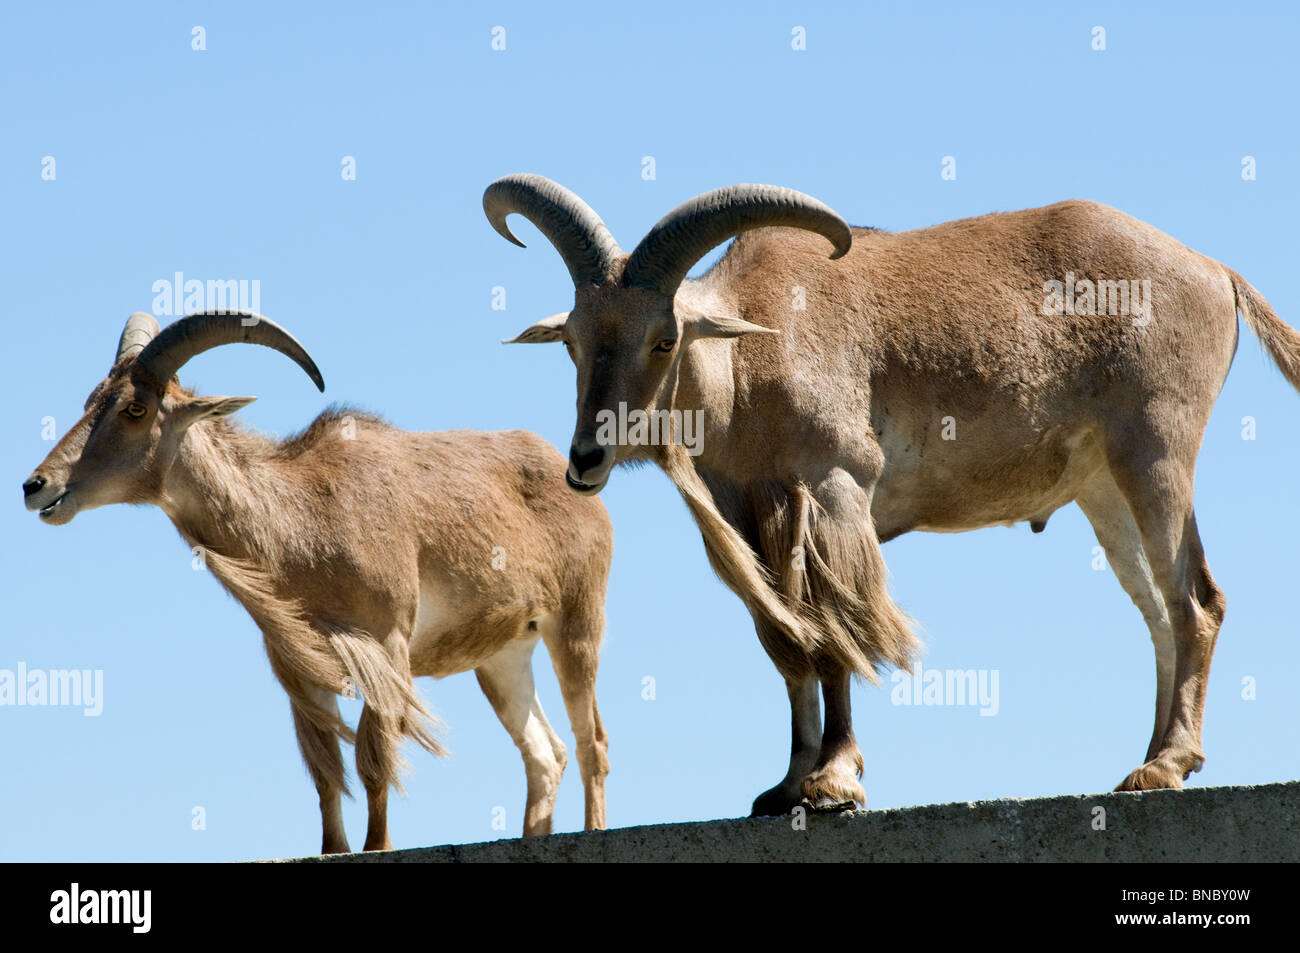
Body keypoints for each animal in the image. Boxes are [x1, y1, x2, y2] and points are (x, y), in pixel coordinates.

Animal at [22, 309, 613, 853]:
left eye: (135, 408)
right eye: (90, 401)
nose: (36, 486)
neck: (304, 522)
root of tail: (576, 481)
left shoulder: (385, 646)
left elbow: (372, 761)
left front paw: (377, 847)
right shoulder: (299, 665)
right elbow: (326, 771)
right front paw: (332, 848)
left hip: (576, 623)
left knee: (592, 743)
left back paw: (592, 830)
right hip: (503, 656)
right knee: (545, 752)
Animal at [485, 173, 1299, 813]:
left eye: (664, 338)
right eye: (574, 339)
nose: (586, 457)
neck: (751, 356)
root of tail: (1215, 273)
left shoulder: (833, 489)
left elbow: (838, 635)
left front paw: (834, 779)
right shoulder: (751, 523)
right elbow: (791, 646)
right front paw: (786, 783)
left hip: (1156, 449)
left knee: (1197, 600)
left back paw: (1169, 763)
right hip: (1106, 491)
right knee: (1159, 615)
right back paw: (1153, 757)